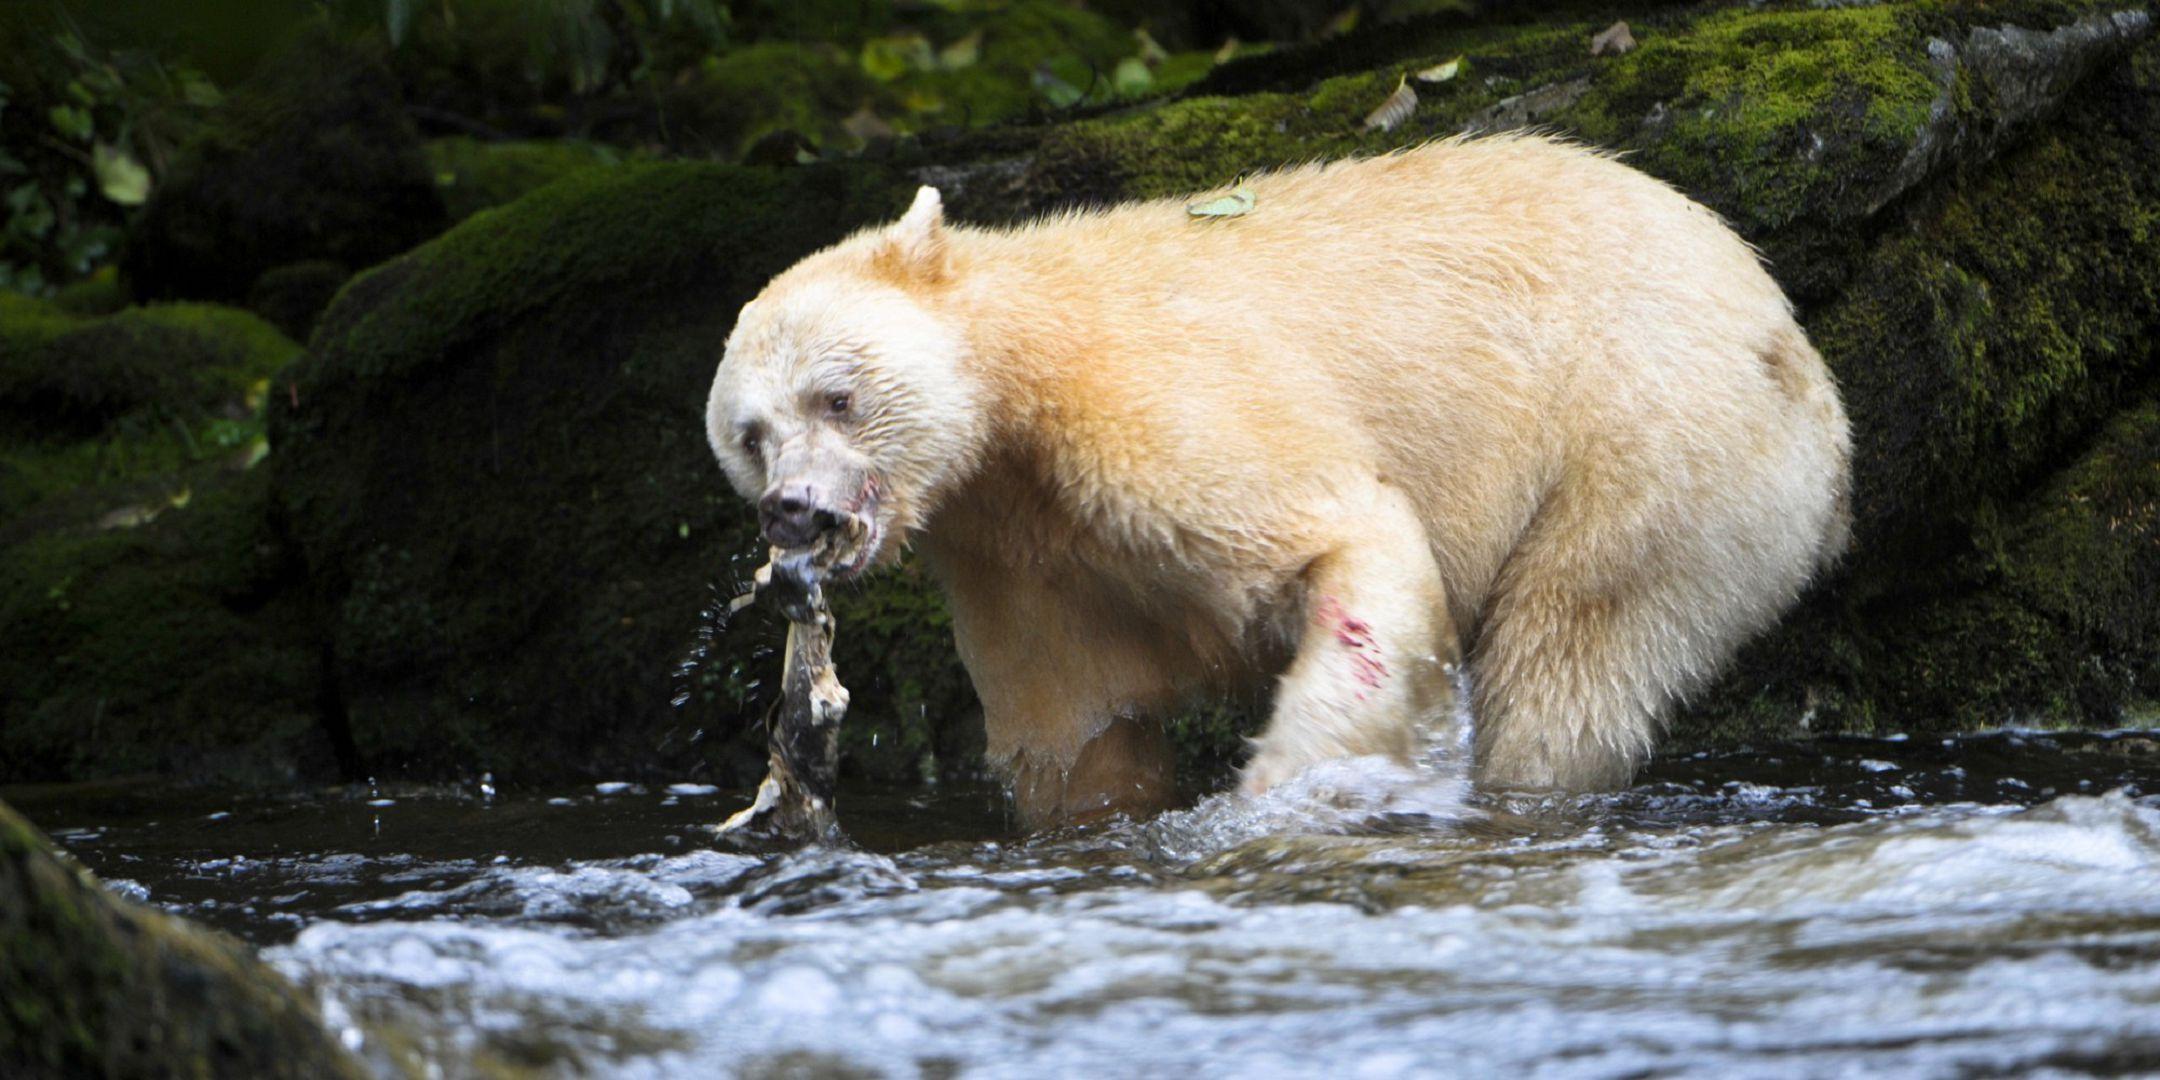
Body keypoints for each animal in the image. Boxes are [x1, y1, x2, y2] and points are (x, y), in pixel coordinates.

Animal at [705, 134, 1852, 829]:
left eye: (837, 397)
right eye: (751, 436)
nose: (792, 509)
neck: (1022, 389)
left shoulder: (1155, 403)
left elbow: (1343, 538)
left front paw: (1277, 796)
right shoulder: (1013, 551)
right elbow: (1072, 728)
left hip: (1653, 443)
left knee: (1571, 655)